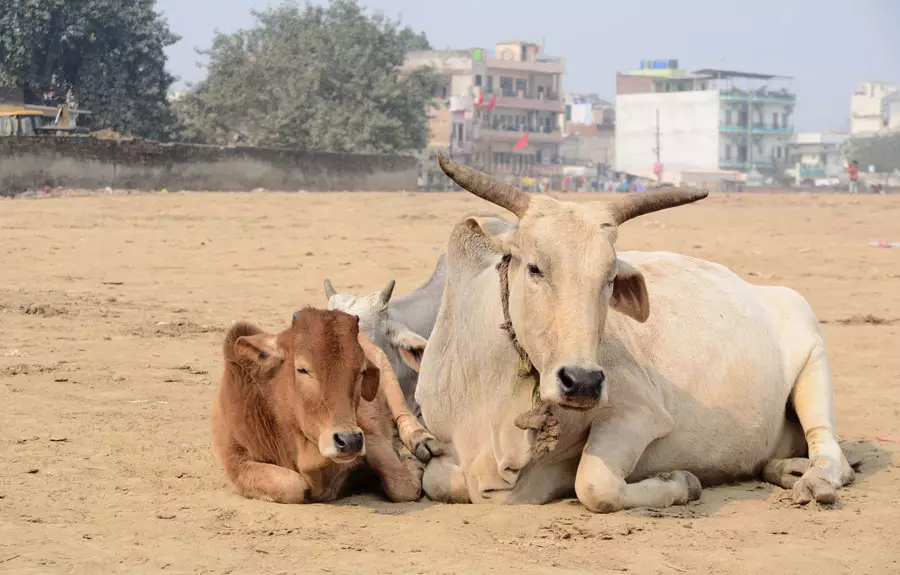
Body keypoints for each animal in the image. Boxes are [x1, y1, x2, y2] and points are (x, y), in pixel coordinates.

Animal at [207, 308, 440, 502]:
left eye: (362, 371)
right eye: (302, 369)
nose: (349, 441)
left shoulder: (370, 434)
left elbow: (402, 485)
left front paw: (412, 466)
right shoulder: (235, 461)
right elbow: (294, 486)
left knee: (404, 415)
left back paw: (423, 441)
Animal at [414, 155, 852, 516]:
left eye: (610, 278)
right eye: (535, 268)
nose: (582, 383)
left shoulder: (641, 414)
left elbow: (594, 485)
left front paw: (680, 482)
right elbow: (435, 480)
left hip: (813, 352)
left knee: (832, 452)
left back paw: (813, 481)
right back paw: (785, 468)